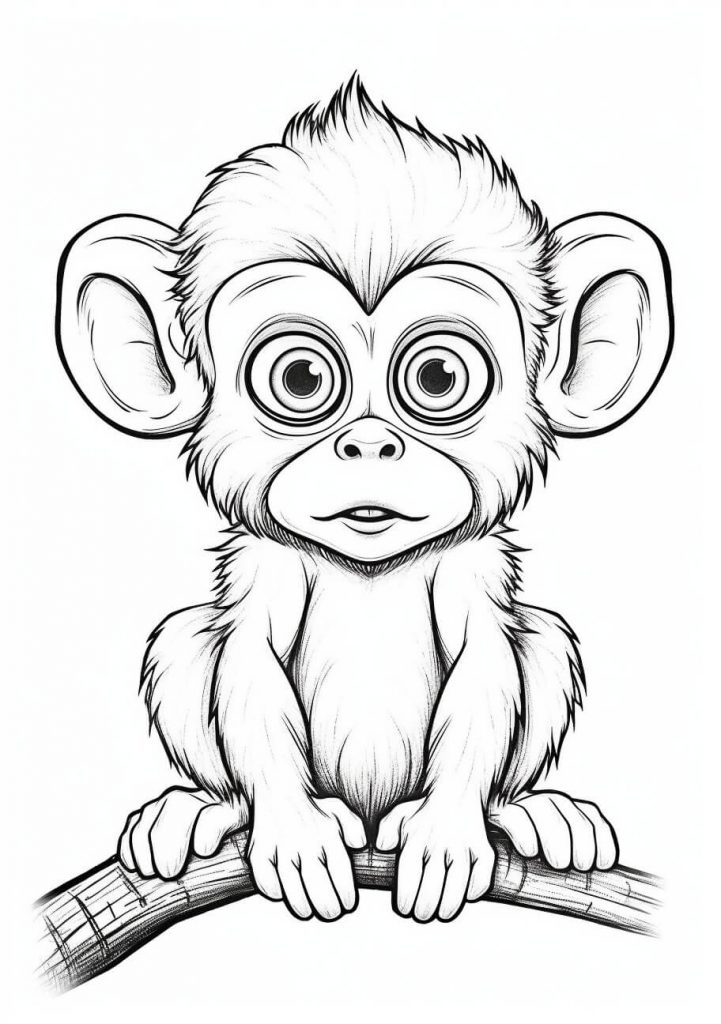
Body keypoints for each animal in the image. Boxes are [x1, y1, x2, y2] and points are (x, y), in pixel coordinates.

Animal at [56, 77, 673, 924]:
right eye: (301, 379)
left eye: (438, 378)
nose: (370, 445)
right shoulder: (267, 561)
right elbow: (246, 659)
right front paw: (289, 831)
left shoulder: (469, 564)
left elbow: (487, 658)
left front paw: (449, 832)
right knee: (185, 640)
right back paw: (210, 811)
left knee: (541, 639)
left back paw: (525, 812)